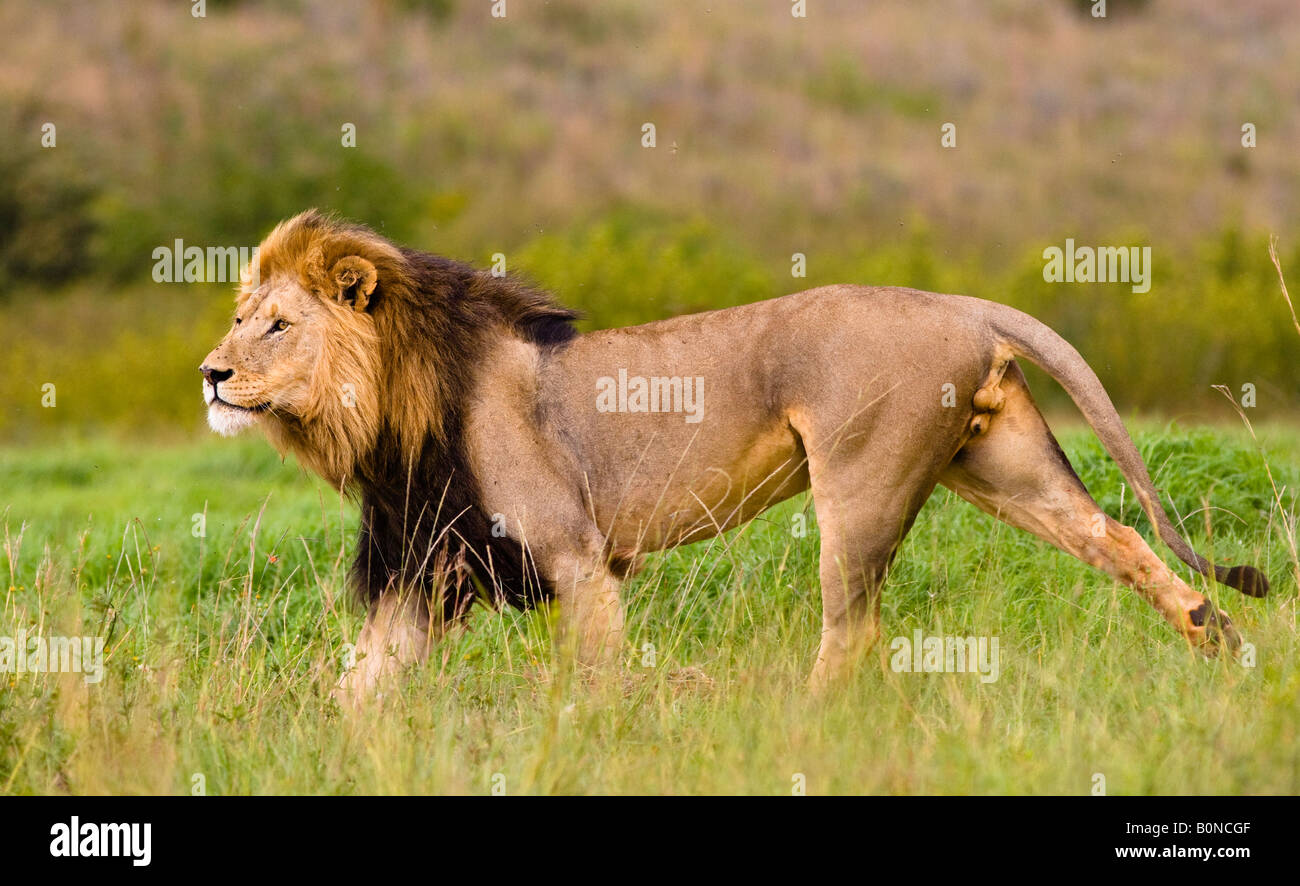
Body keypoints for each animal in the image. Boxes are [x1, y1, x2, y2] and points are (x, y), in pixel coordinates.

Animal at [200, 210, 1268, 700]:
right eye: (241, 316)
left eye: (278, 326)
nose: (210, 374)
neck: (386, 413)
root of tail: (965, 305)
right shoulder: (425, 568)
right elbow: (358, 692)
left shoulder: (577, 556)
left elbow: (594, 681)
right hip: (1005, 467)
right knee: (1120, 541)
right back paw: (1215, 641)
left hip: (861, 484)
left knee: (852, 631)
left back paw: (805, 725)